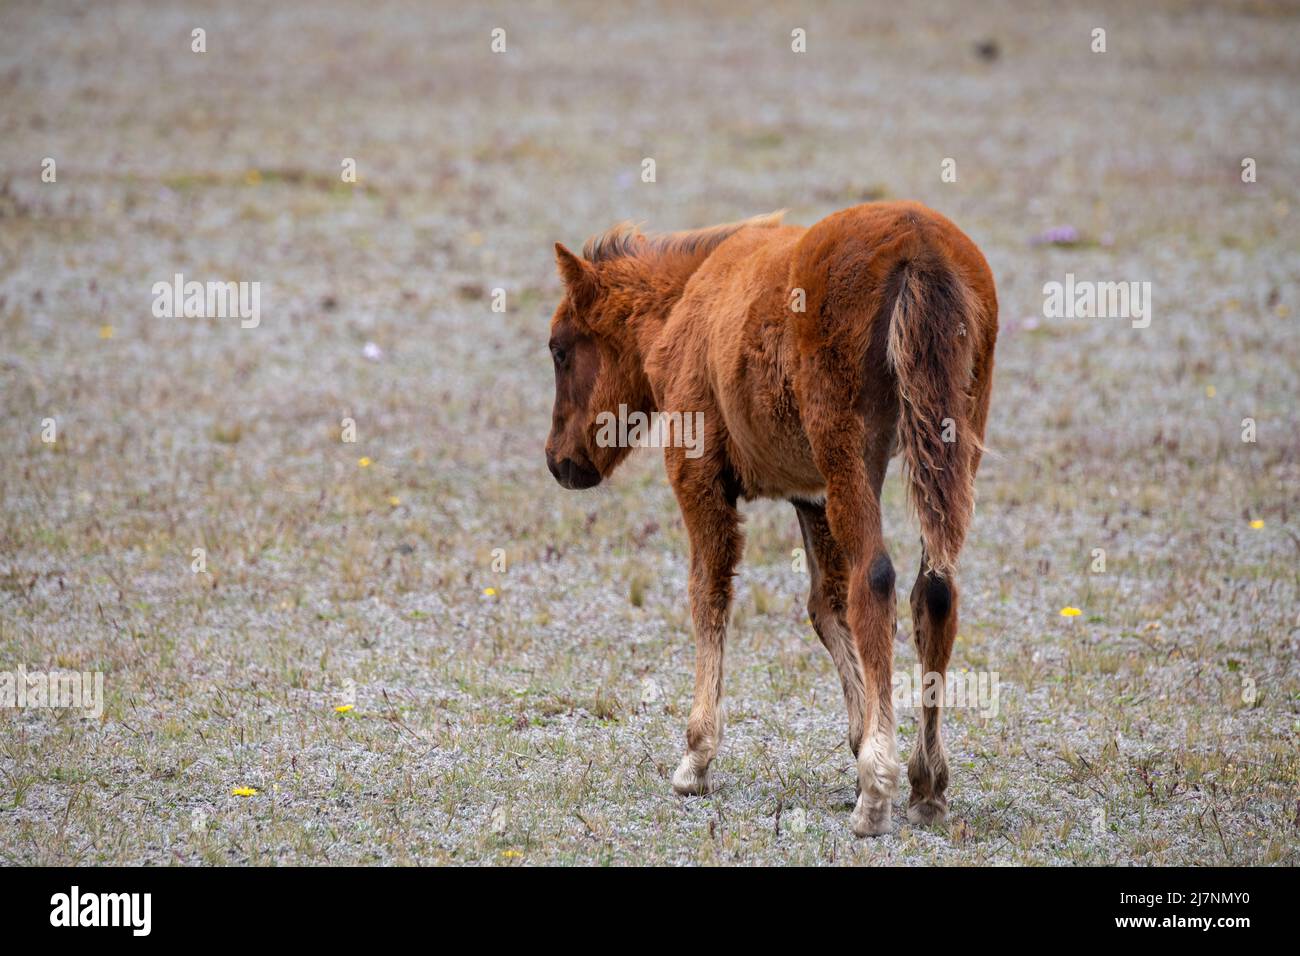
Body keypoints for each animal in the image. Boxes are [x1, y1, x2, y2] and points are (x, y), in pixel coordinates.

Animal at [543, 201, 997, 836]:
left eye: (560, 349)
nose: (559, 462)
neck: (690, 297)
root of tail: (918, 243)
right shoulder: (810, 496)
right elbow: (825, 608)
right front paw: (860, 738)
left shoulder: (698, 474)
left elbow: (709, 595)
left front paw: (696, 758)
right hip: (953, 444)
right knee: (934, 592)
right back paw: (925, 782)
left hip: (848, 450)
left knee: (876, 580)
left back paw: (876, 795)